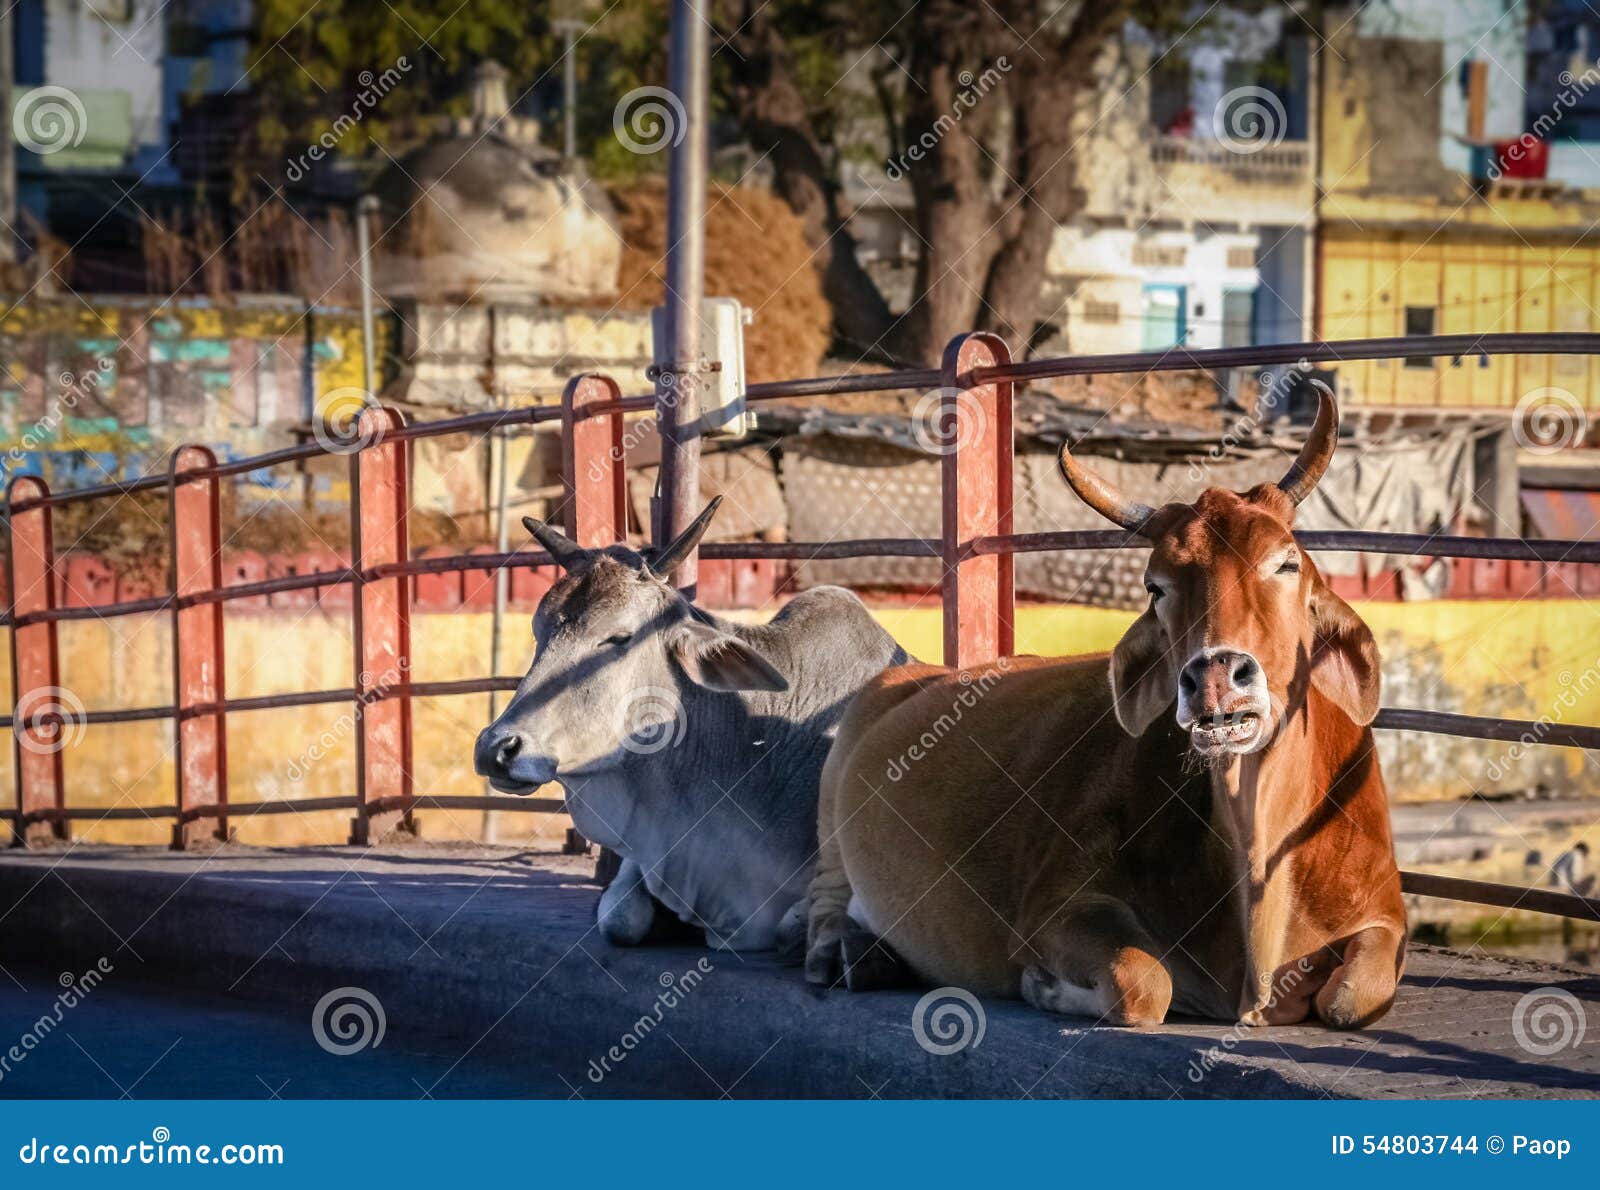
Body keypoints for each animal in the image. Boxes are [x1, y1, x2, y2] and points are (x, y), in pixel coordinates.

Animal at [806, 385, 1407, 1028]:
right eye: (1155, 585)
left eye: (1286, 562)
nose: (1216, 676)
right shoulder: (1054, 906)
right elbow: (1145, 984)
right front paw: (1046, 987)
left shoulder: (1385, 916)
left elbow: (1348, 998)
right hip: (834, 804)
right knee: (824, 907)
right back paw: (848, 956)